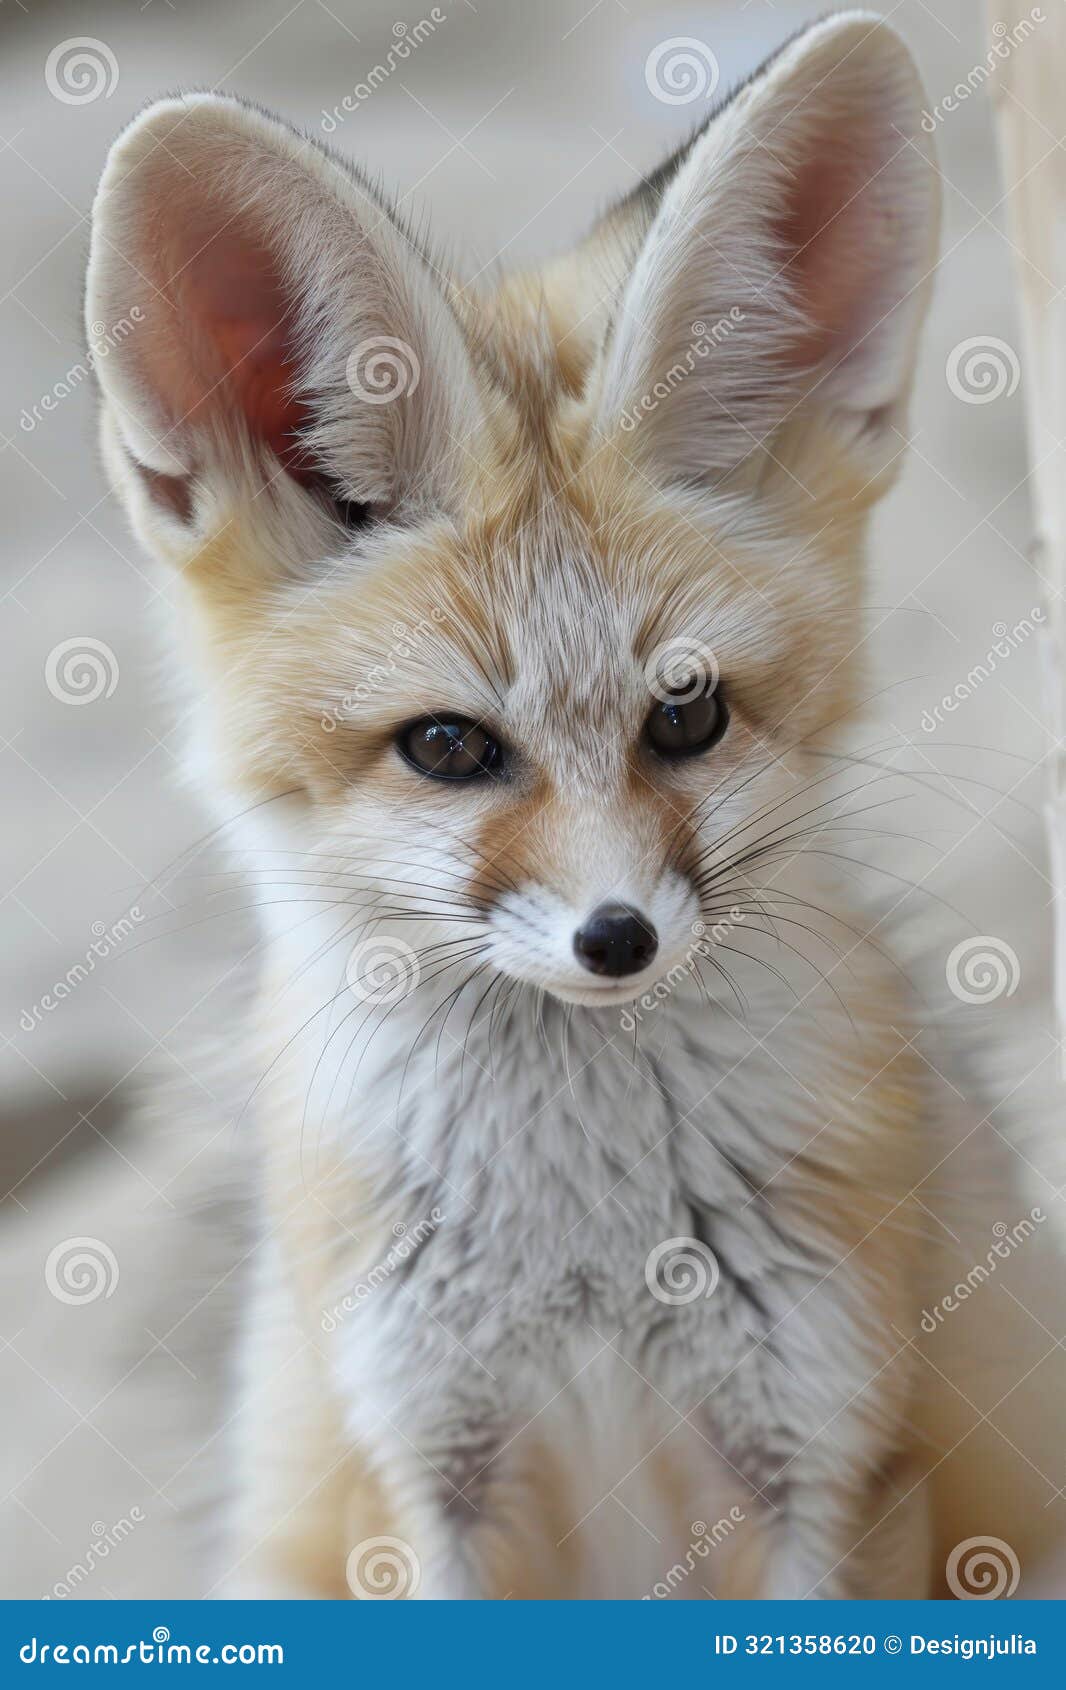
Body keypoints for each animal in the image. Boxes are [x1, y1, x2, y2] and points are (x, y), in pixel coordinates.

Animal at [85, 11, 941, 1600]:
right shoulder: (420, 1463)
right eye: (446, 746)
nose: (617, 939)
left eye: (688, 714)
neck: (589, 1252)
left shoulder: (830, 1455)